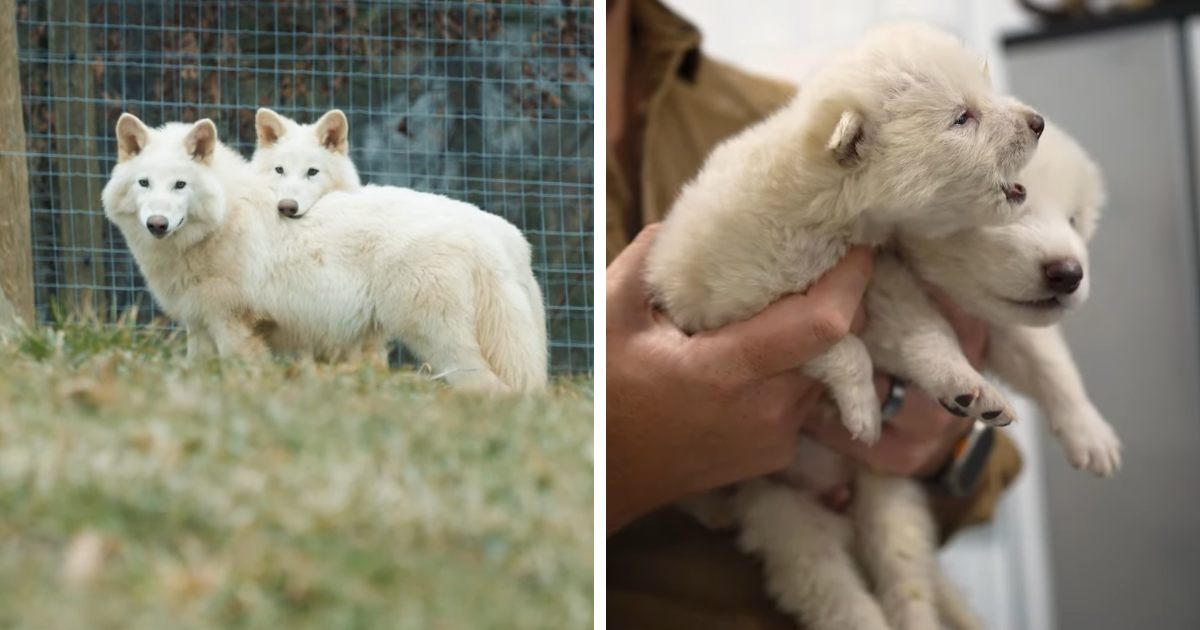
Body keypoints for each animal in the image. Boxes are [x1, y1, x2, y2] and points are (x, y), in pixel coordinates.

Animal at [101, 114, 548, 393]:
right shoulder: (200, 329)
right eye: (144, 183)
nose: (157, 224)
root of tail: (495, 234)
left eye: (180, 185)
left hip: (440, 346)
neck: (222, 219)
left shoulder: (234, 330)